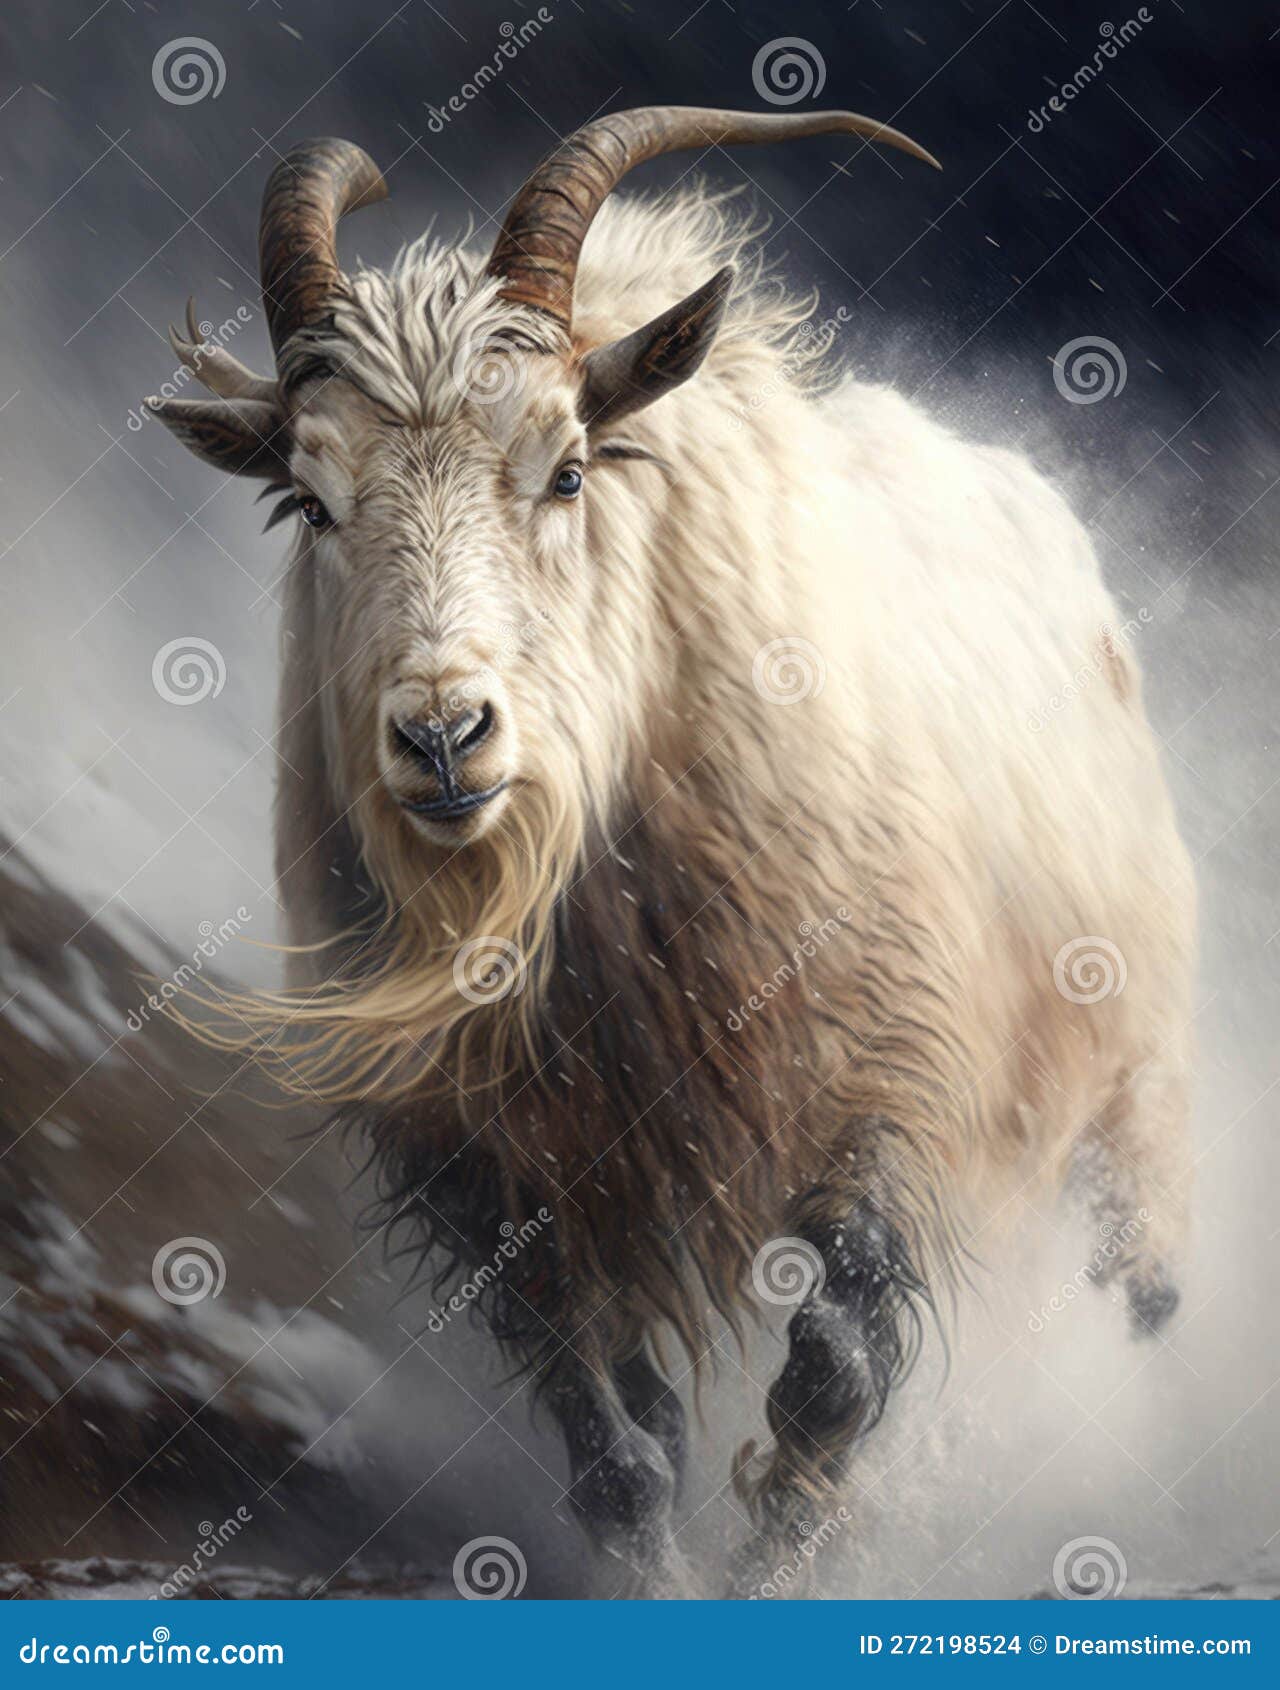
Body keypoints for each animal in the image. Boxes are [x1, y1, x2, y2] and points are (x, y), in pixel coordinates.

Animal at [149, 106, 1196, 1597]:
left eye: (568, 468)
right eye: (309, 502)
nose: (444, 736)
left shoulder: (891, 1082)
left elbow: (831, 1372)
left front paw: (785, 1574)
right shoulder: (505, 1174)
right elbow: (616, 1439)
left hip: (1127, 1034)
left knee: (1134, 1234)